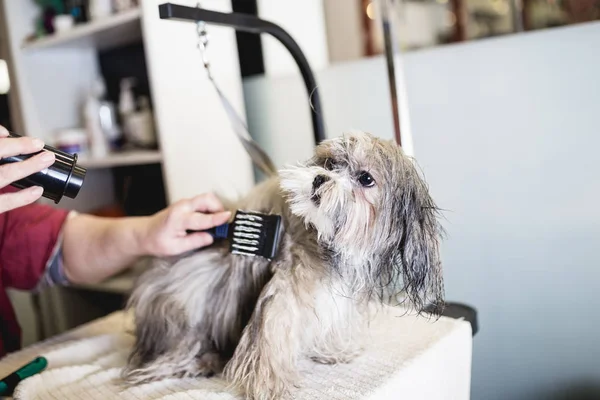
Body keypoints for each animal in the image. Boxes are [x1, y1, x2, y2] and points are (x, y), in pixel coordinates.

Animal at [122, 132, 442, 400]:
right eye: (330, 163)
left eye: (365, 178)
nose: (319, 179)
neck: (326, 244)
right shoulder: (283, 291)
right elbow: (271, 335)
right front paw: (270, 384)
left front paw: (331, 351)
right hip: (190, 294)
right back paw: (198, 361)